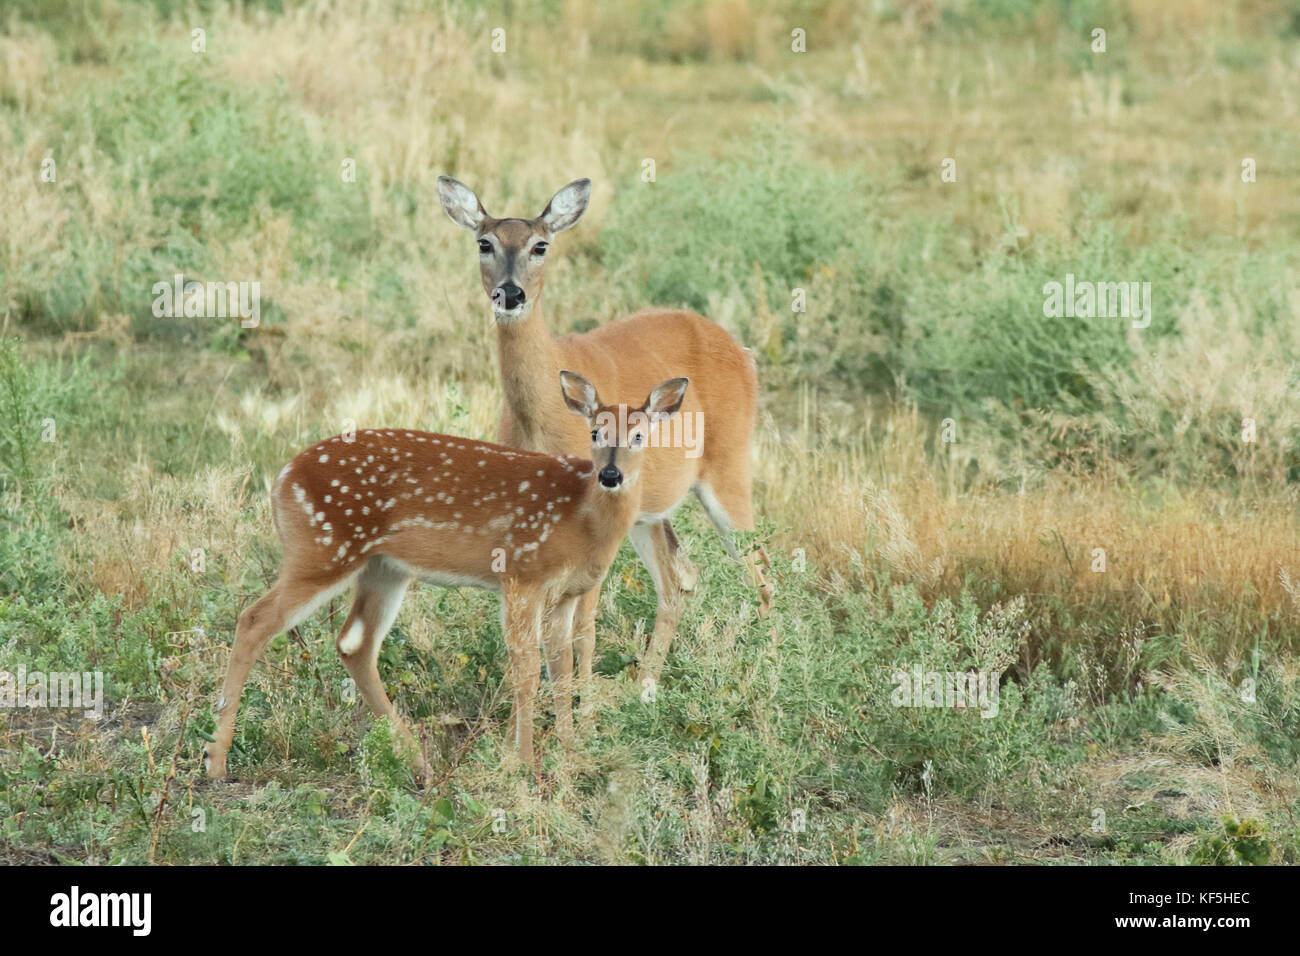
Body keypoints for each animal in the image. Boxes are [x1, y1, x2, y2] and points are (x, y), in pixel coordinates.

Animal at [203, 372, 690, 778]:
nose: (611, 474)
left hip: (382, 567)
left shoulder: (567, 592)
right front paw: (525, 763)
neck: (581, 519)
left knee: (353, 643)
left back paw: (417, 761)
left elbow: (563, 665)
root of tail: (281, 481)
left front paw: (571, 753)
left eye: (640, 435)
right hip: (322, 550)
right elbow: (527, 668)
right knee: (254, 620)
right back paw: (216, 762)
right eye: (594, 432)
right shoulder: (522, 573)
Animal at [437, 175, 773, 691]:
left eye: (540, 245)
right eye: (484, 242)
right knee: (681, 576)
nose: (510, 294)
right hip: (648, 512)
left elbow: (580, 627)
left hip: (728, 469)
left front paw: (581, 704)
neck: (541, 418)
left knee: (761, 573)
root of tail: (743, 352)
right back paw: (646, 687)